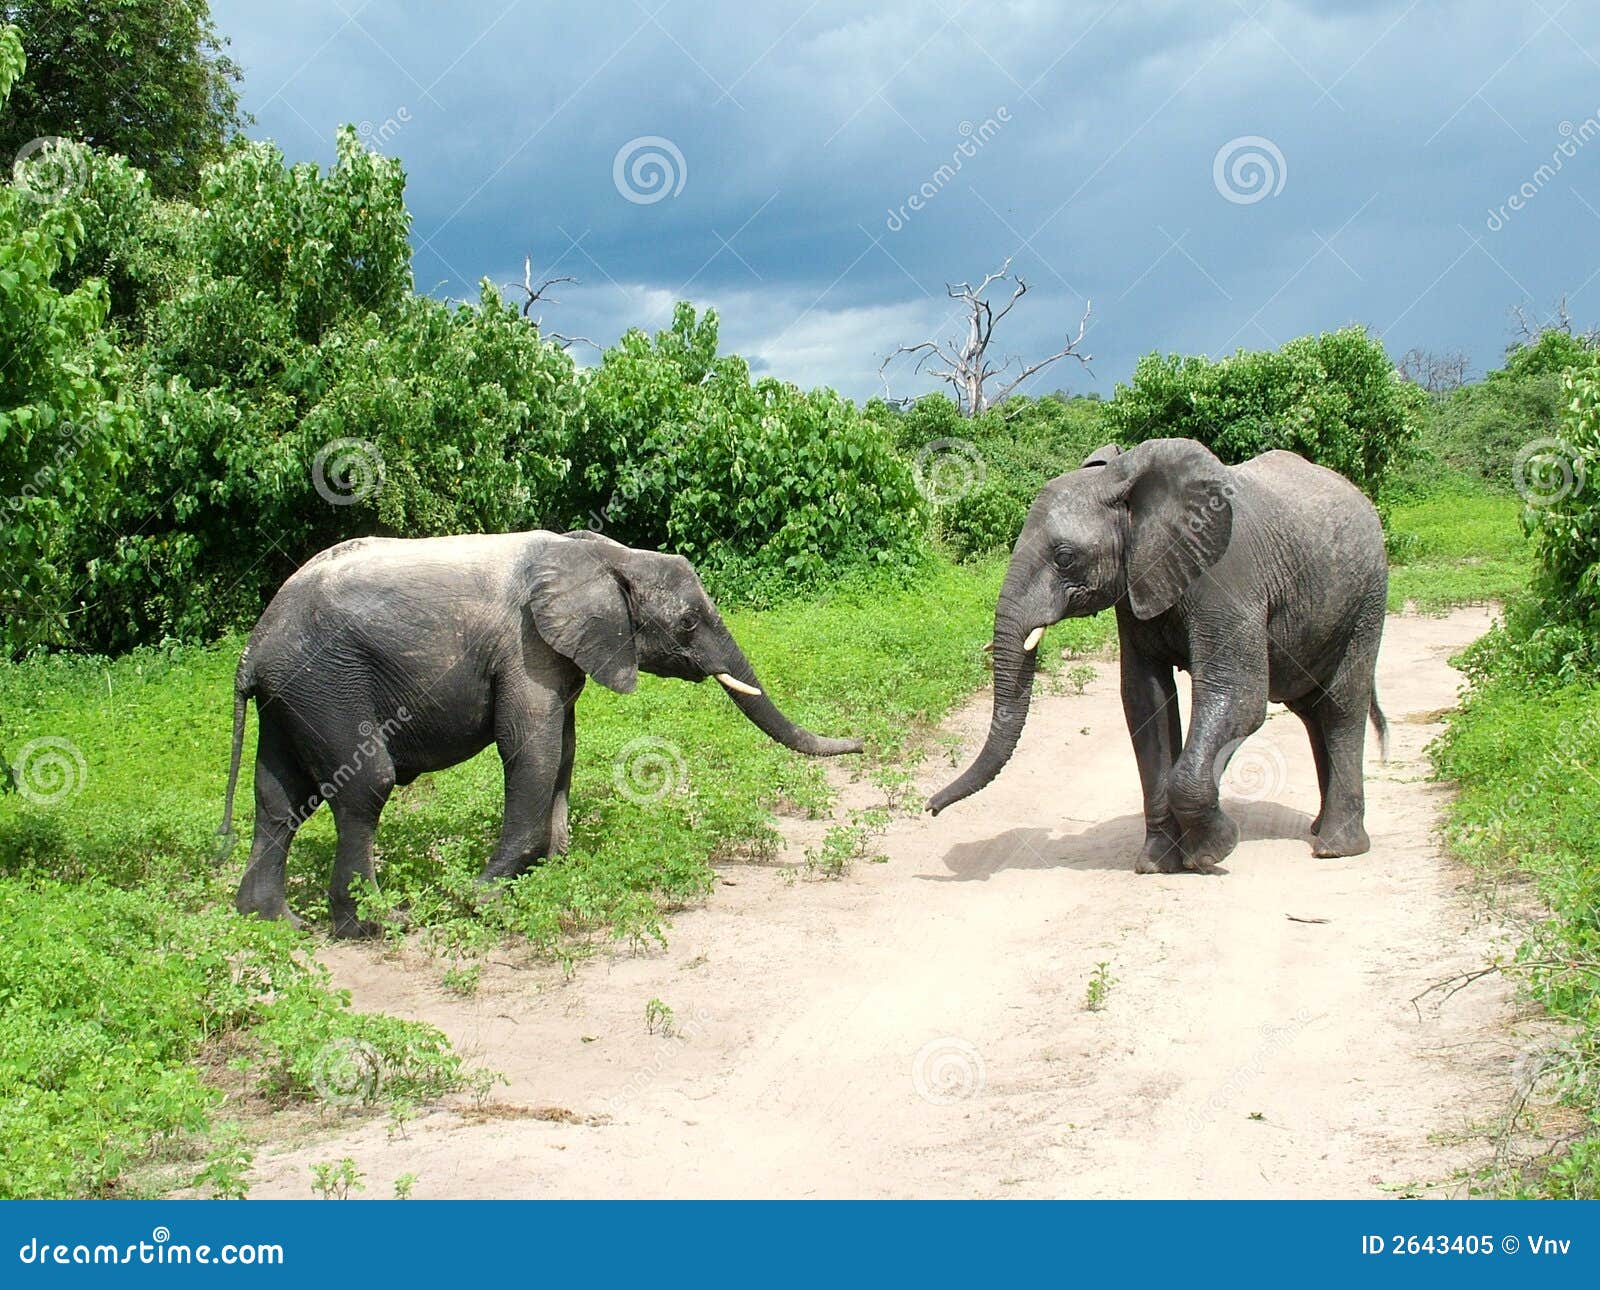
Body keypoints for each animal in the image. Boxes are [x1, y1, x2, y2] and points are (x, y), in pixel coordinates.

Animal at [216, 529, 861, 937]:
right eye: (686, 623)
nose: (862, 743)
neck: (606, 555)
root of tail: (252, 651)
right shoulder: (525, 645)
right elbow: (532, 748)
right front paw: (477, 895)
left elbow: (563, 753)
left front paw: (550, 871)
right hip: (326, 679)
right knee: (365, 786)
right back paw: (375, 925)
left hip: (293, 696)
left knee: (279, 801)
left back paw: (275, 923)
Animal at [929, 438, 1388, 874]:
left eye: (1065, 558)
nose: (929, 807)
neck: (1123, 482)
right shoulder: (1135, 585)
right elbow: (1146, 701)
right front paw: (1156, 864)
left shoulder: (1228, 578)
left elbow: (1237, 697)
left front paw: (1210, 851)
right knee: (1311, 711)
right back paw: (1318, 828)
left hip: (1368, 599)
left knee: (1341, 706)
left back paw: (1335, 847)